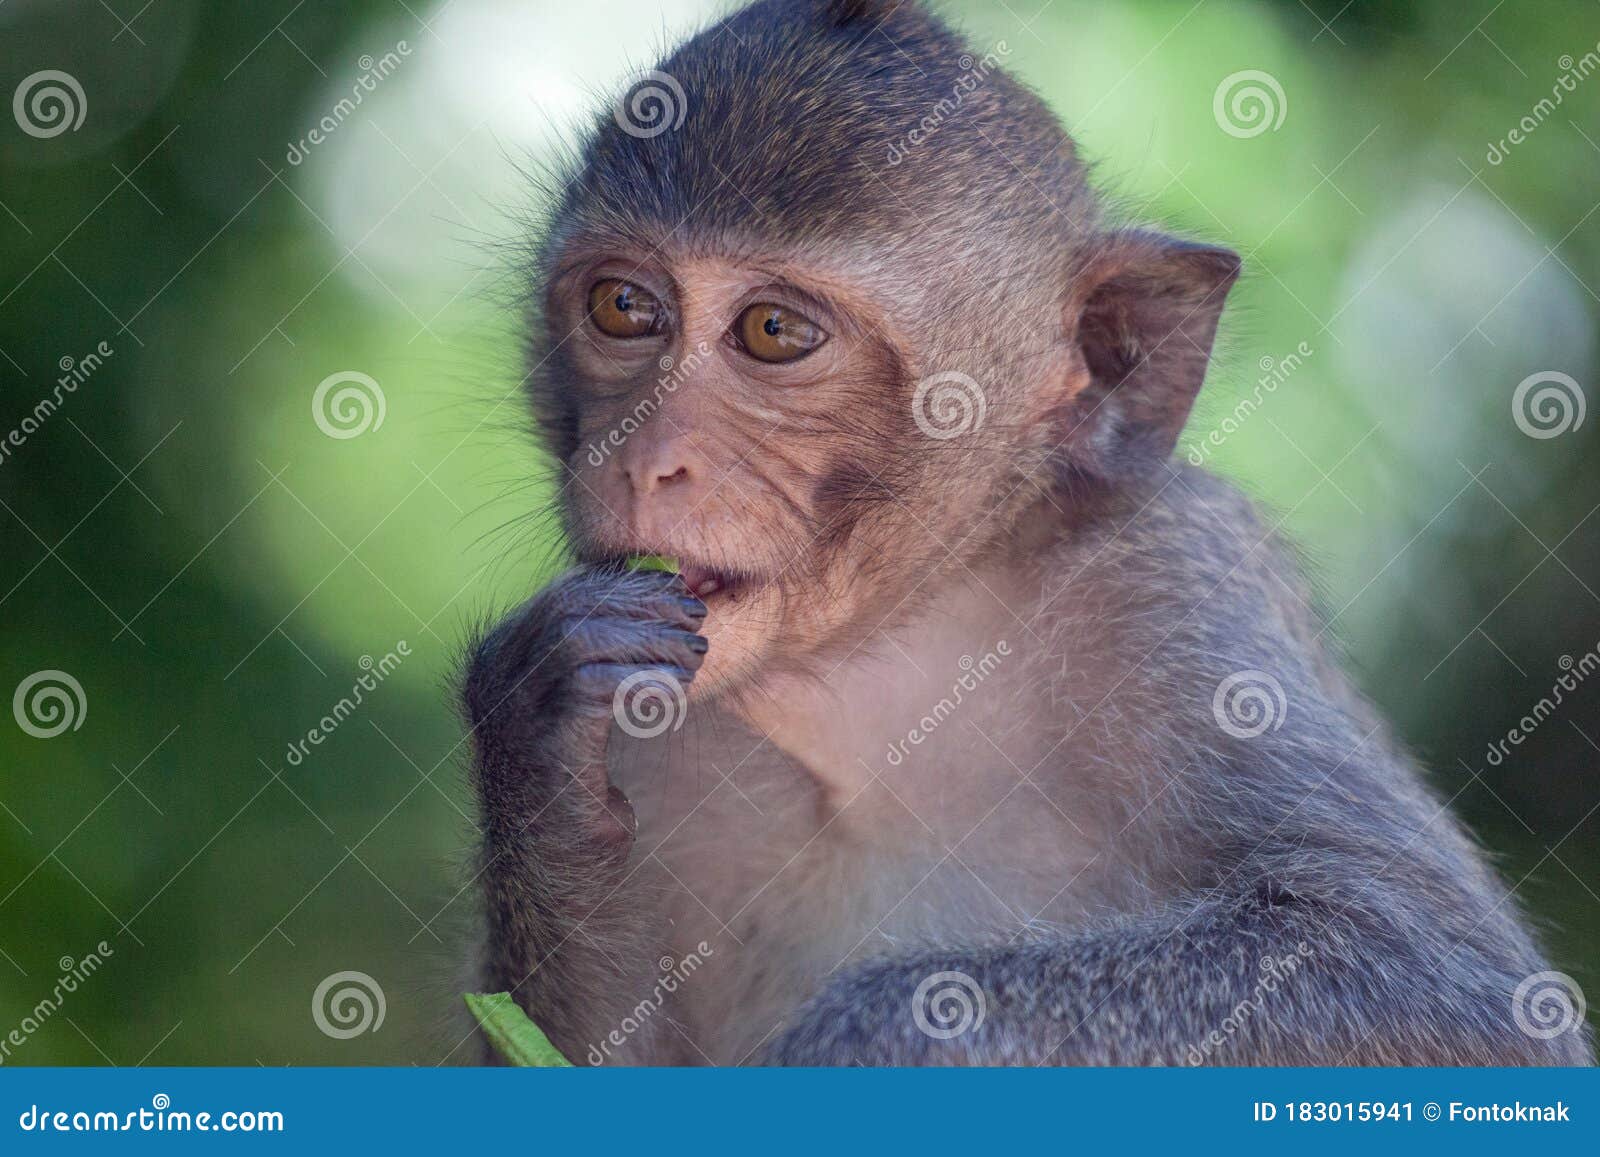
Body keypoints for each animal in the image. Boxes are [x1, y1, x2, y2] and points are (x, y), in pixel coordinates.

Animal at [458, 0, 1596, 1066]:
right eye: (623, 305)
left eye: (772, 332)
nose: (644, 456)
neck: (886, 687)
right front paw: (536, 724)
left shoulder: (1176, 595)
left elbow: (1442, 979)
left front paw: (872, 1040)